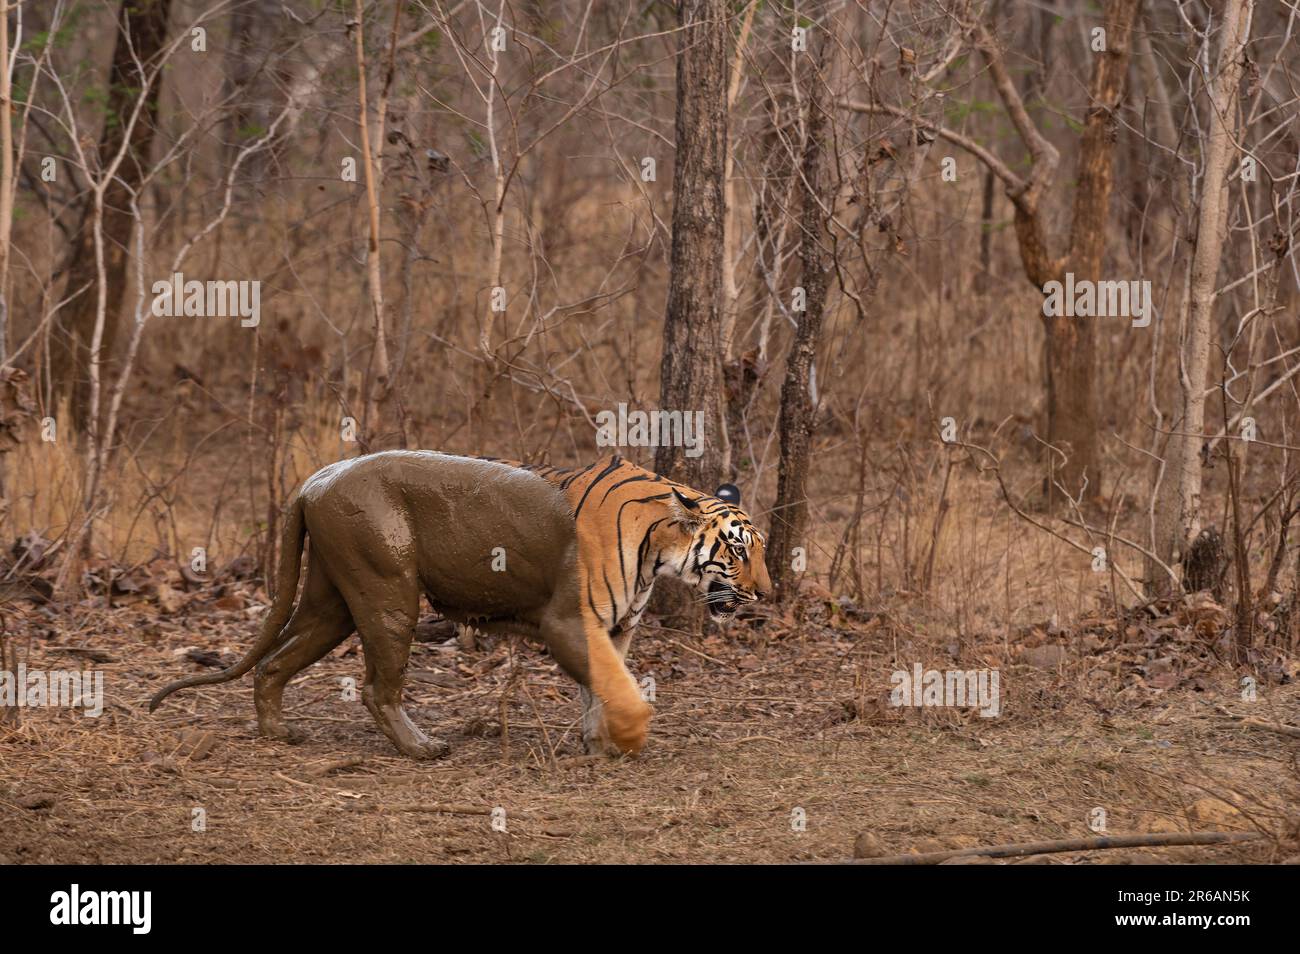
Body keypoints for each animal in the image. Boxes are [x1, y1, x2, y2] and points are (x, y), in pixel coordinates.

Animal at [150, 452, 770, 759]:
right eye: (738, 550)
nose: (766, 593)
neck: (658, 551)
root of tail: (312, 482)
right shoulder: (570, 622)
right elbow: (621, 689)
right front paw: (631, 740)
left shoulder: (615, 630)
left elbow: (604, 687)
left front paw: (599, 744)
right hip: (388, 593)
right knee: (376, 687)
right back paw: (423, 748)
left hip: (334, 603)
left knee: (274, 662)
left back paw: (279, 733)